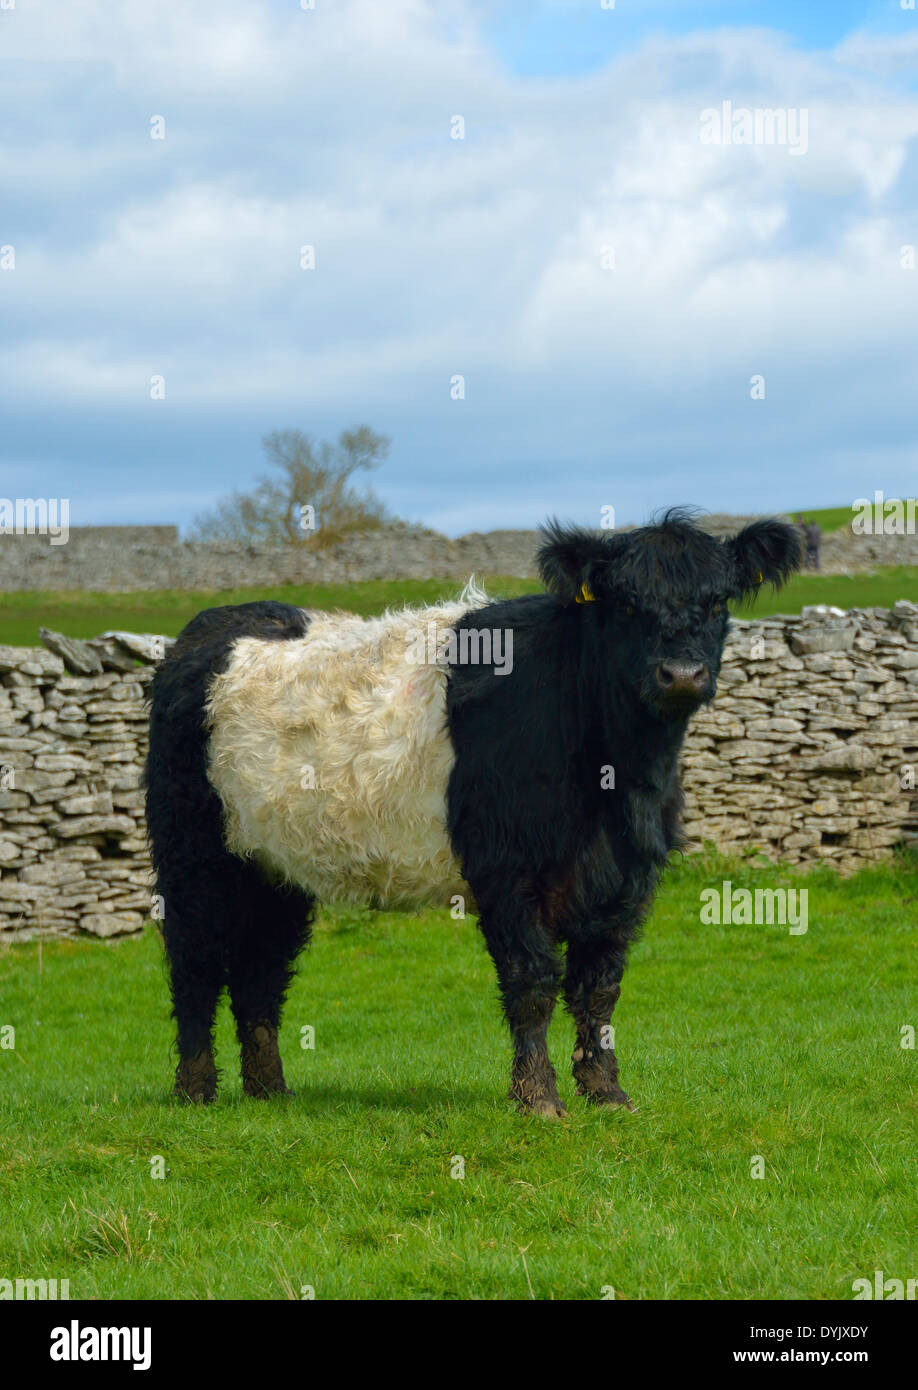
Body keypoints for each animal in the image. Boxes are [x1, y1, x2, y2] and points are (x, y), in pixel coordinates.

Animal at [144, 510, 801, 1115]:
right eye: (626, 603)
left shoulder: (628, 875)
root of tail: (219, 623)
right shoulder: (506, 868)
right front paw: (539, 1099)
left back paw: (270, 1091)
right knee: (194, 962)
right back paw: (195, 1090)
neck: (621, 780)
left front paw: (607, 1092)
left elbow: (599, 988)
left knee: (261, 969)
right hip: (192, 852)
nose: (682, 674)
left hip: (273, 864)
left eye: (717, 600)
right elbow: (532, 981)